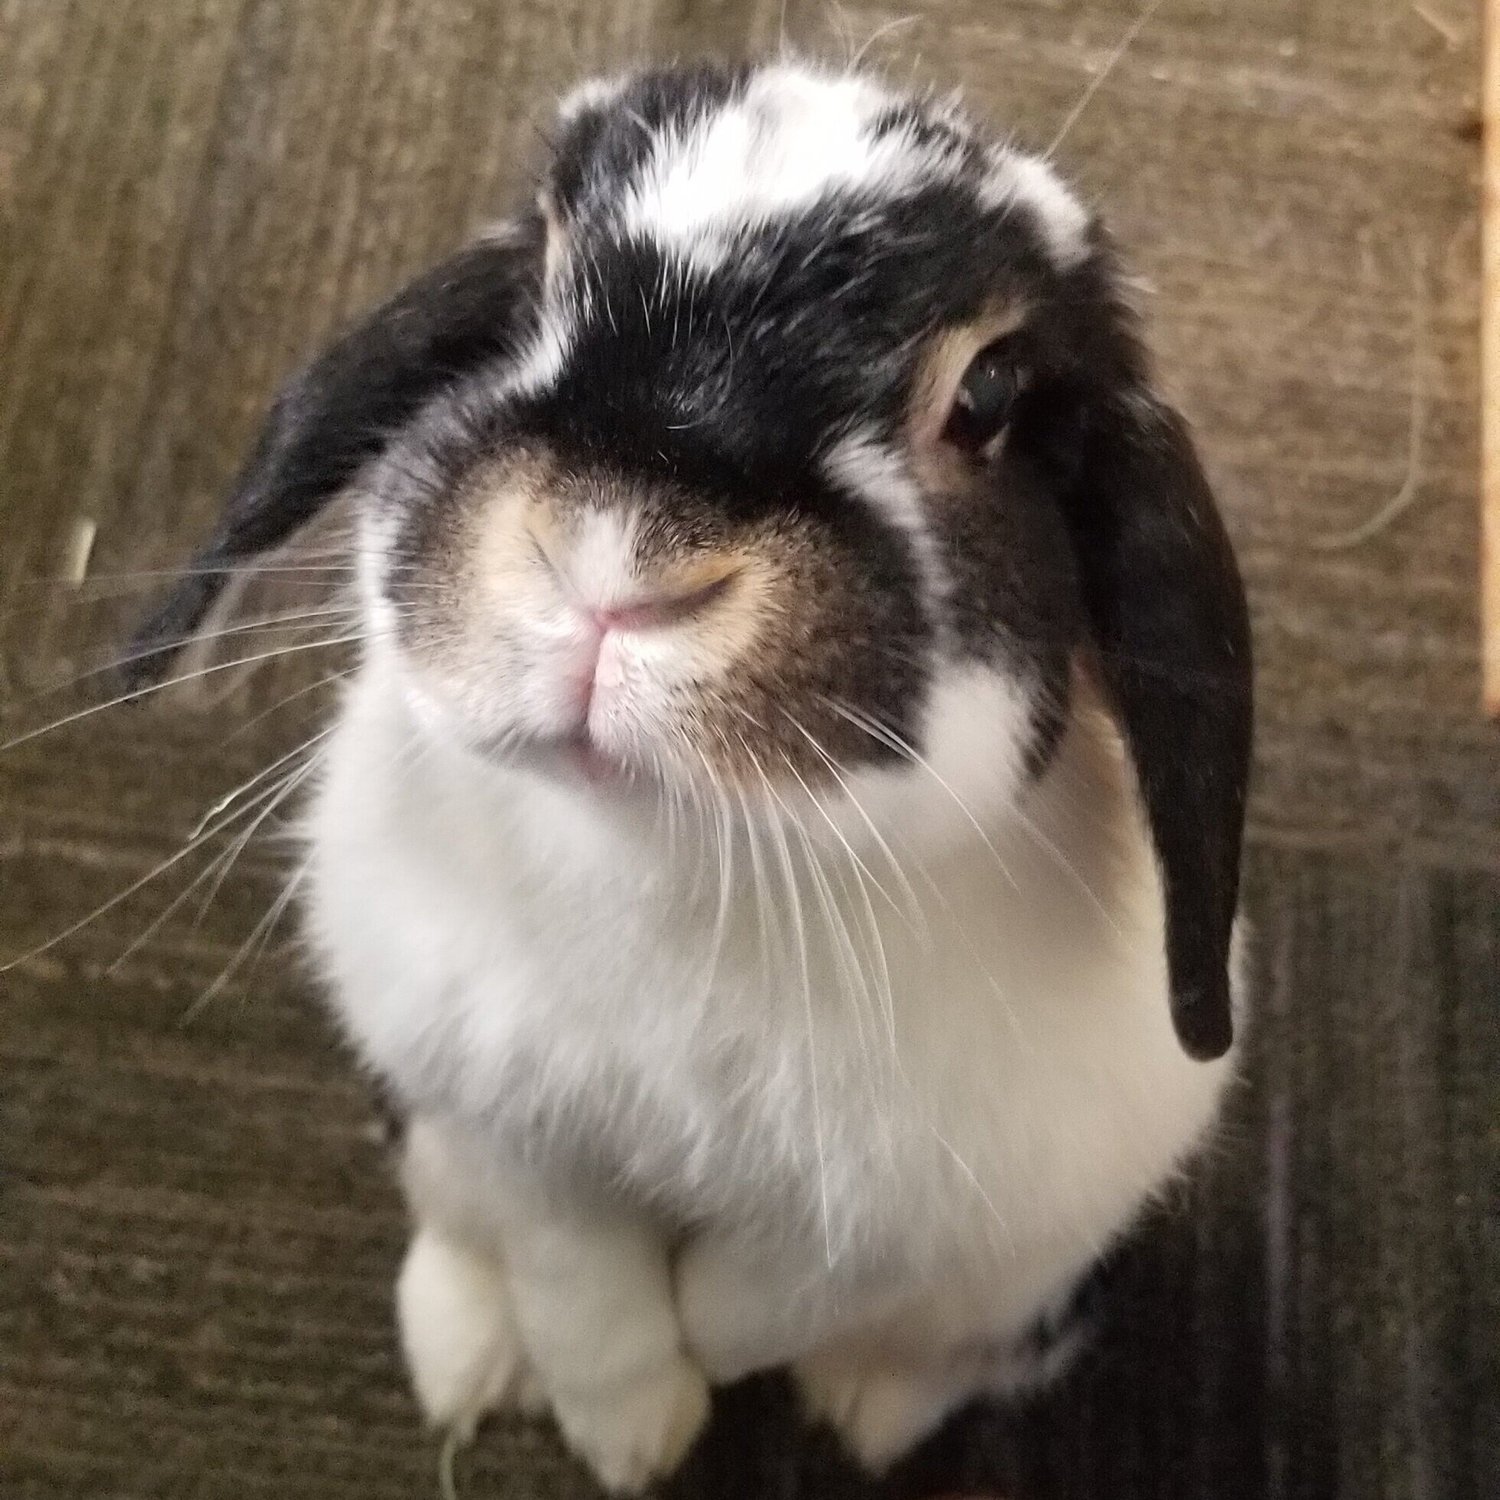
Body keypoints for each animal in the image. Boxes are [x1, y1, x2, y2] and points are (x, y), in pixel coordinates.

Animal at [128, 59, 1253, 1495]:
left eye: (991, 394)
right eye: (545, 269)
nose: (615, 557)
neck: (665, 857)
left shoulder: (906, 1207)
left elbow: (771, 1295)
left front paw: (700, 1376)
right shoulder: (514, 1139)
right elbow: (580, 1283)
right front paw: (631, 1428)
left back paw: (865, 1412)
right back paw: (465, 1366)